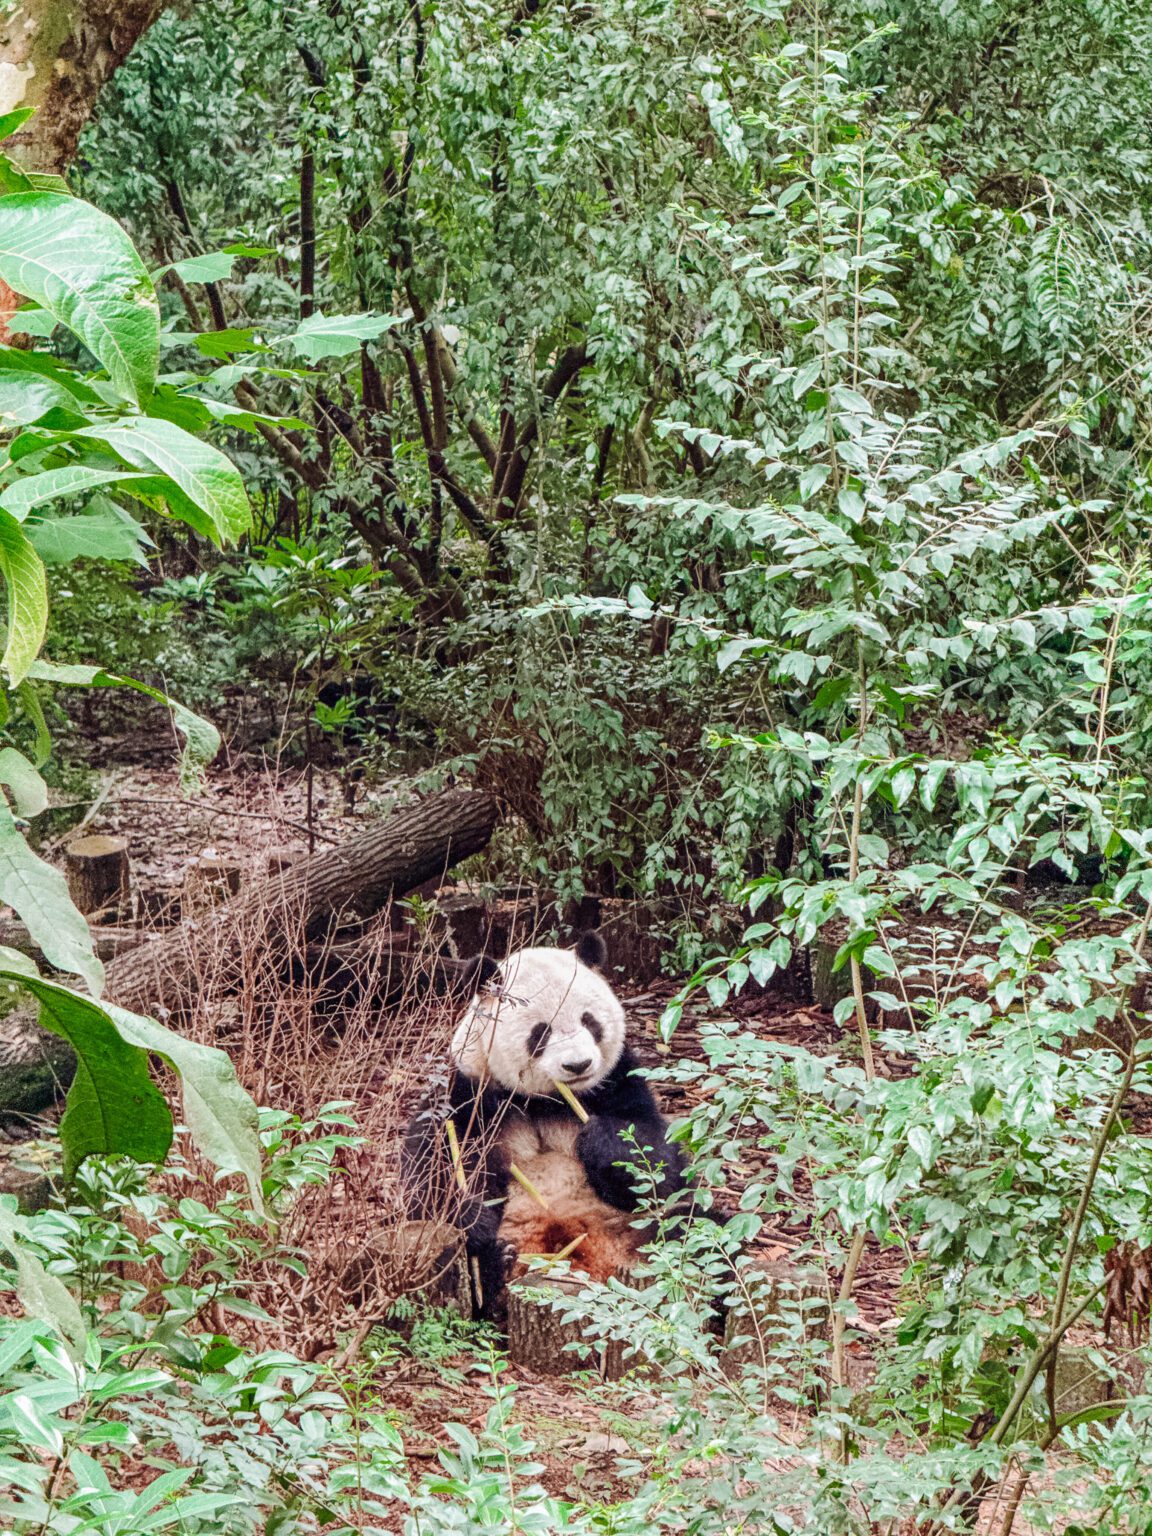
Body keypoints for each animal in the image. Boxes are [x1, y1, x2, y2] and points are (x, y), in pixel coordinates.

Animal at [402, 931, 695, 1318]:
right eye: (541, 1031)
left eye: (589, 1021)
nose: (578, 1065)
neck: (544, 1099)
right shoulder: (466, 1090)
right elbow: (428, 1172)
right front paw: (473, 1216)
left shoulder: (618, 1080)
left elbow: (659, 1164)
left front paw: (604, 1141)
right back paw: (496, 1263)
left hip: (635, 1227)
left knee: (691, 1226)